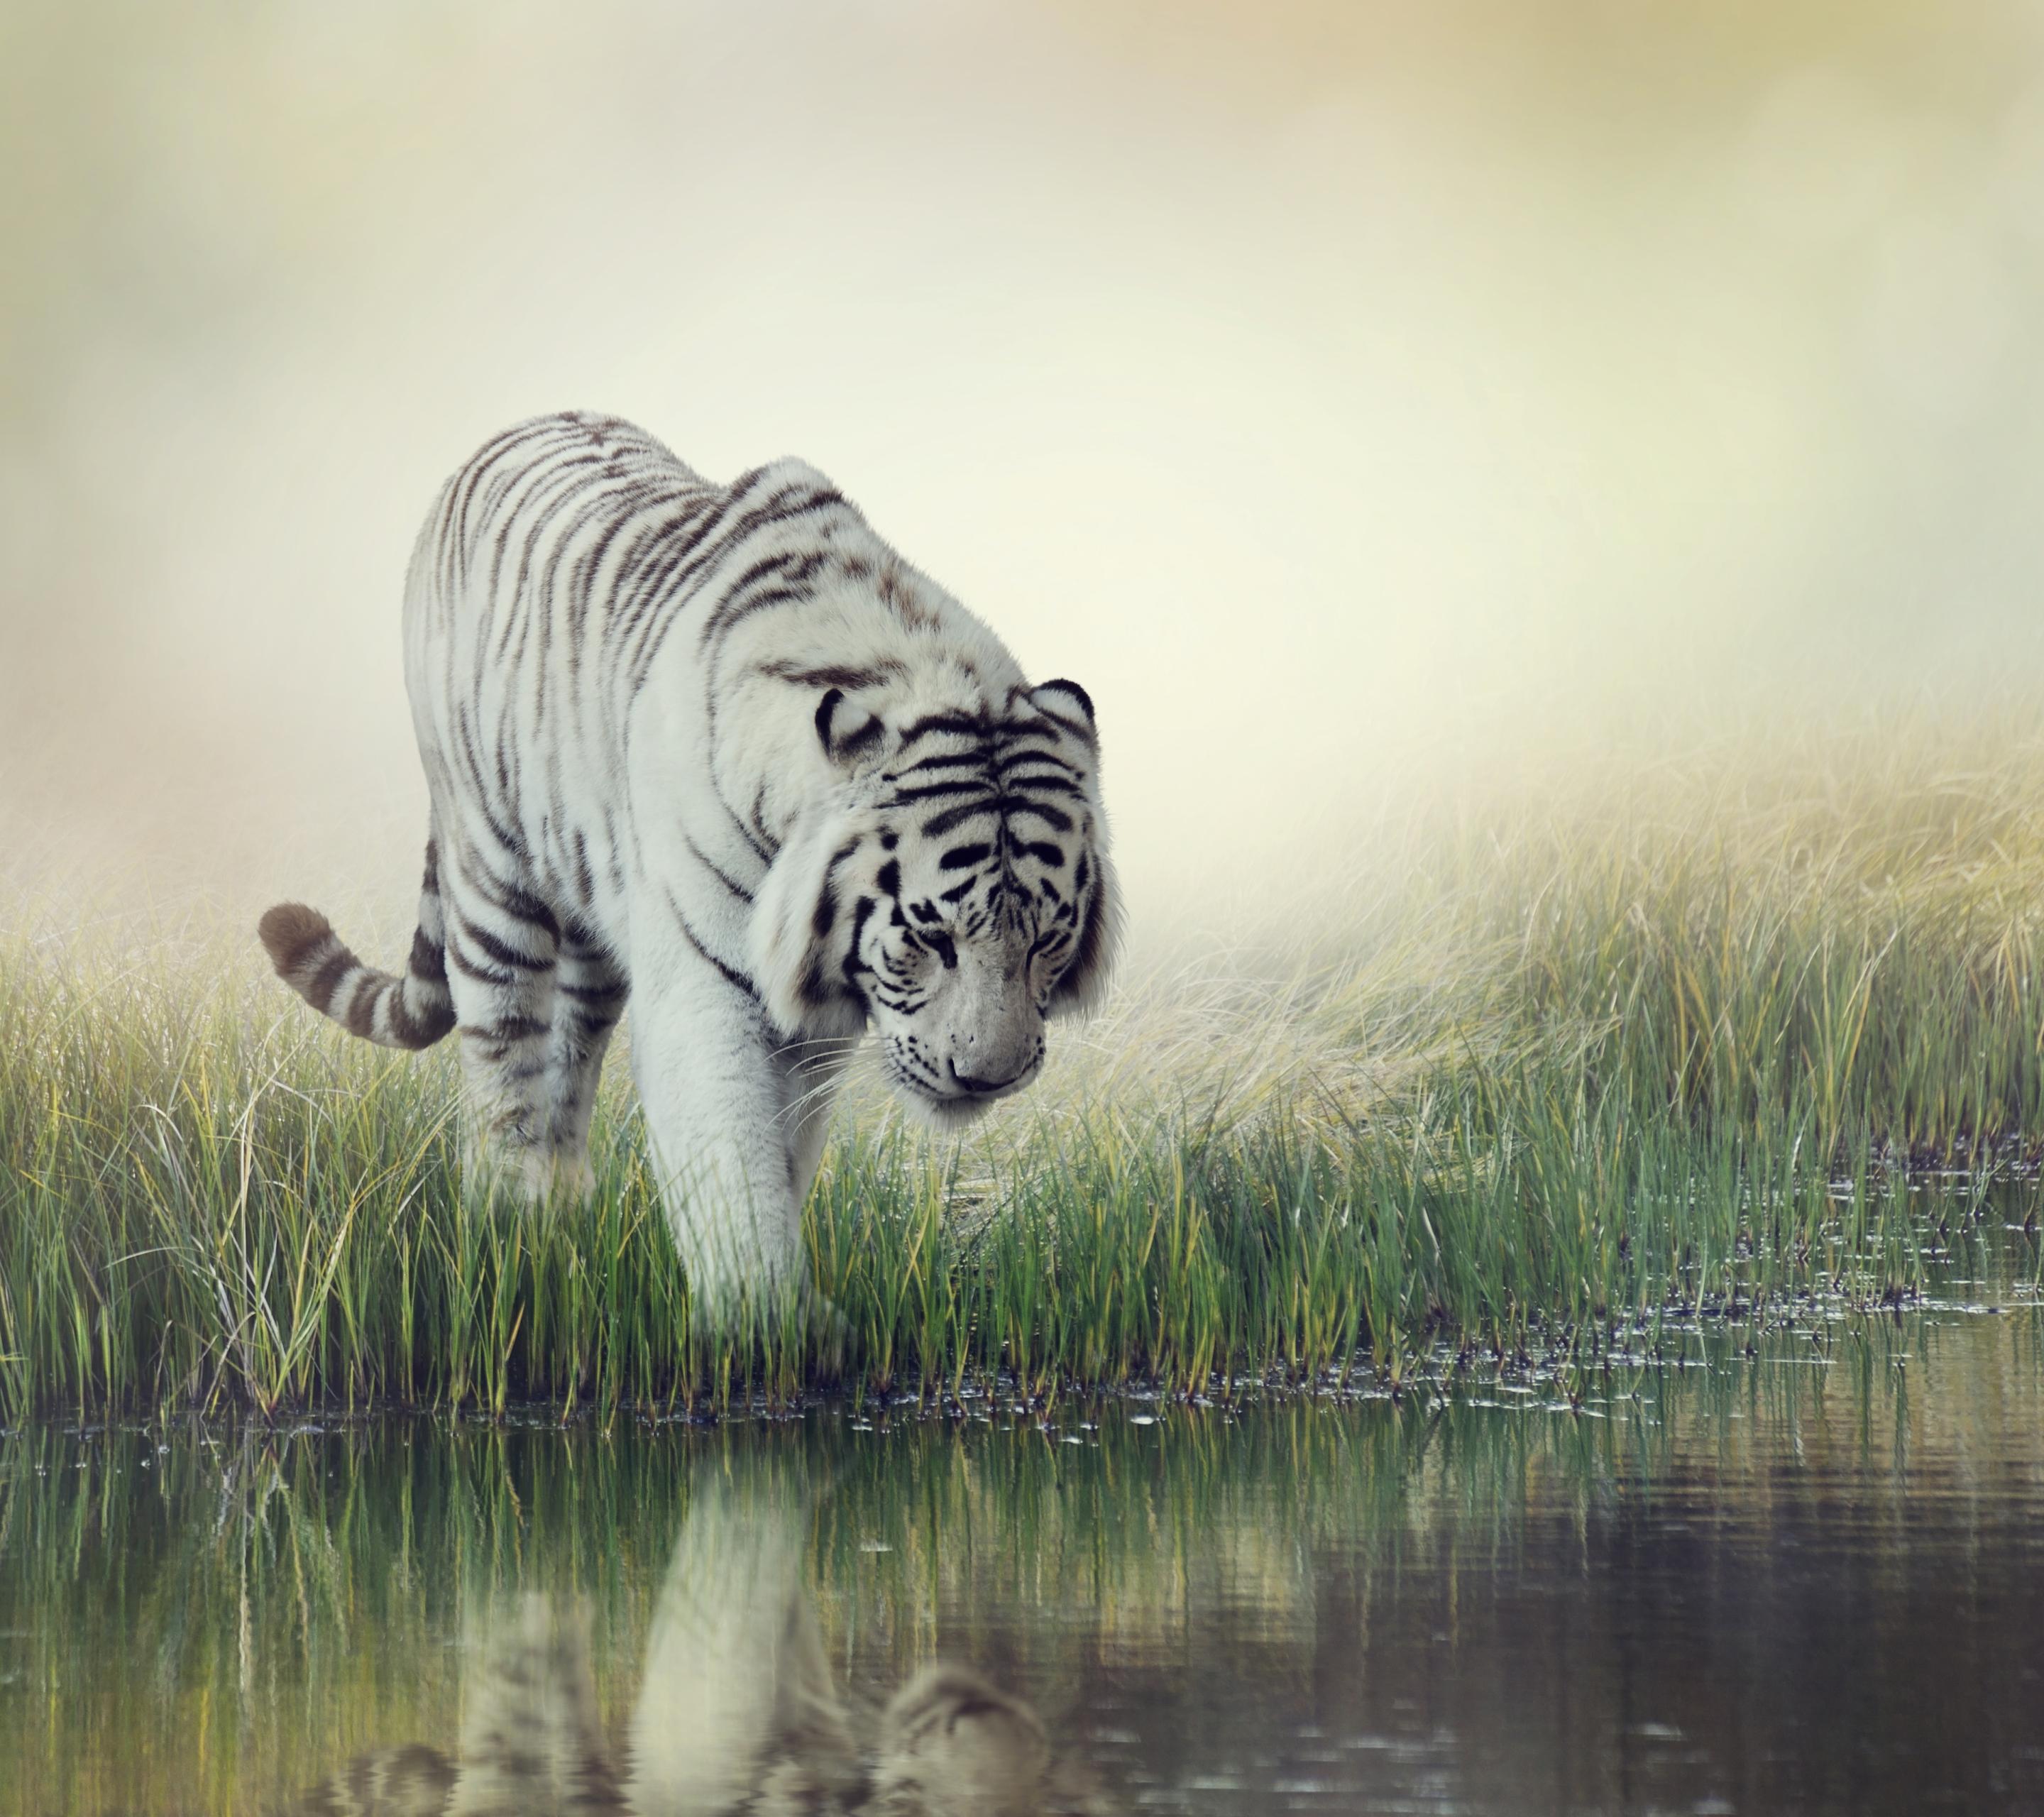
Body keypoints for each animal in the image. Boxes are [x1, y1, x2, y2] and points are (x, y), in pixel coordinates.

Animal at [258, 412, 1117, 1311]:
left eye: (1048, 941)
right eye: (930, 938)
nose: (988, 1078)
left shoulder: (810, 1023)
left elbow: (782, 1151)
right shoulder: (705, 986)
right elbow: (732, 1157)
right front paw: (766, 1318)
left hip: (596, 925)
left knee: (568, 1064)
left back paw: (565, 1216)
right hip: (491, 878)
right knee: (504, 1066)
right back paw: (510, 1225)